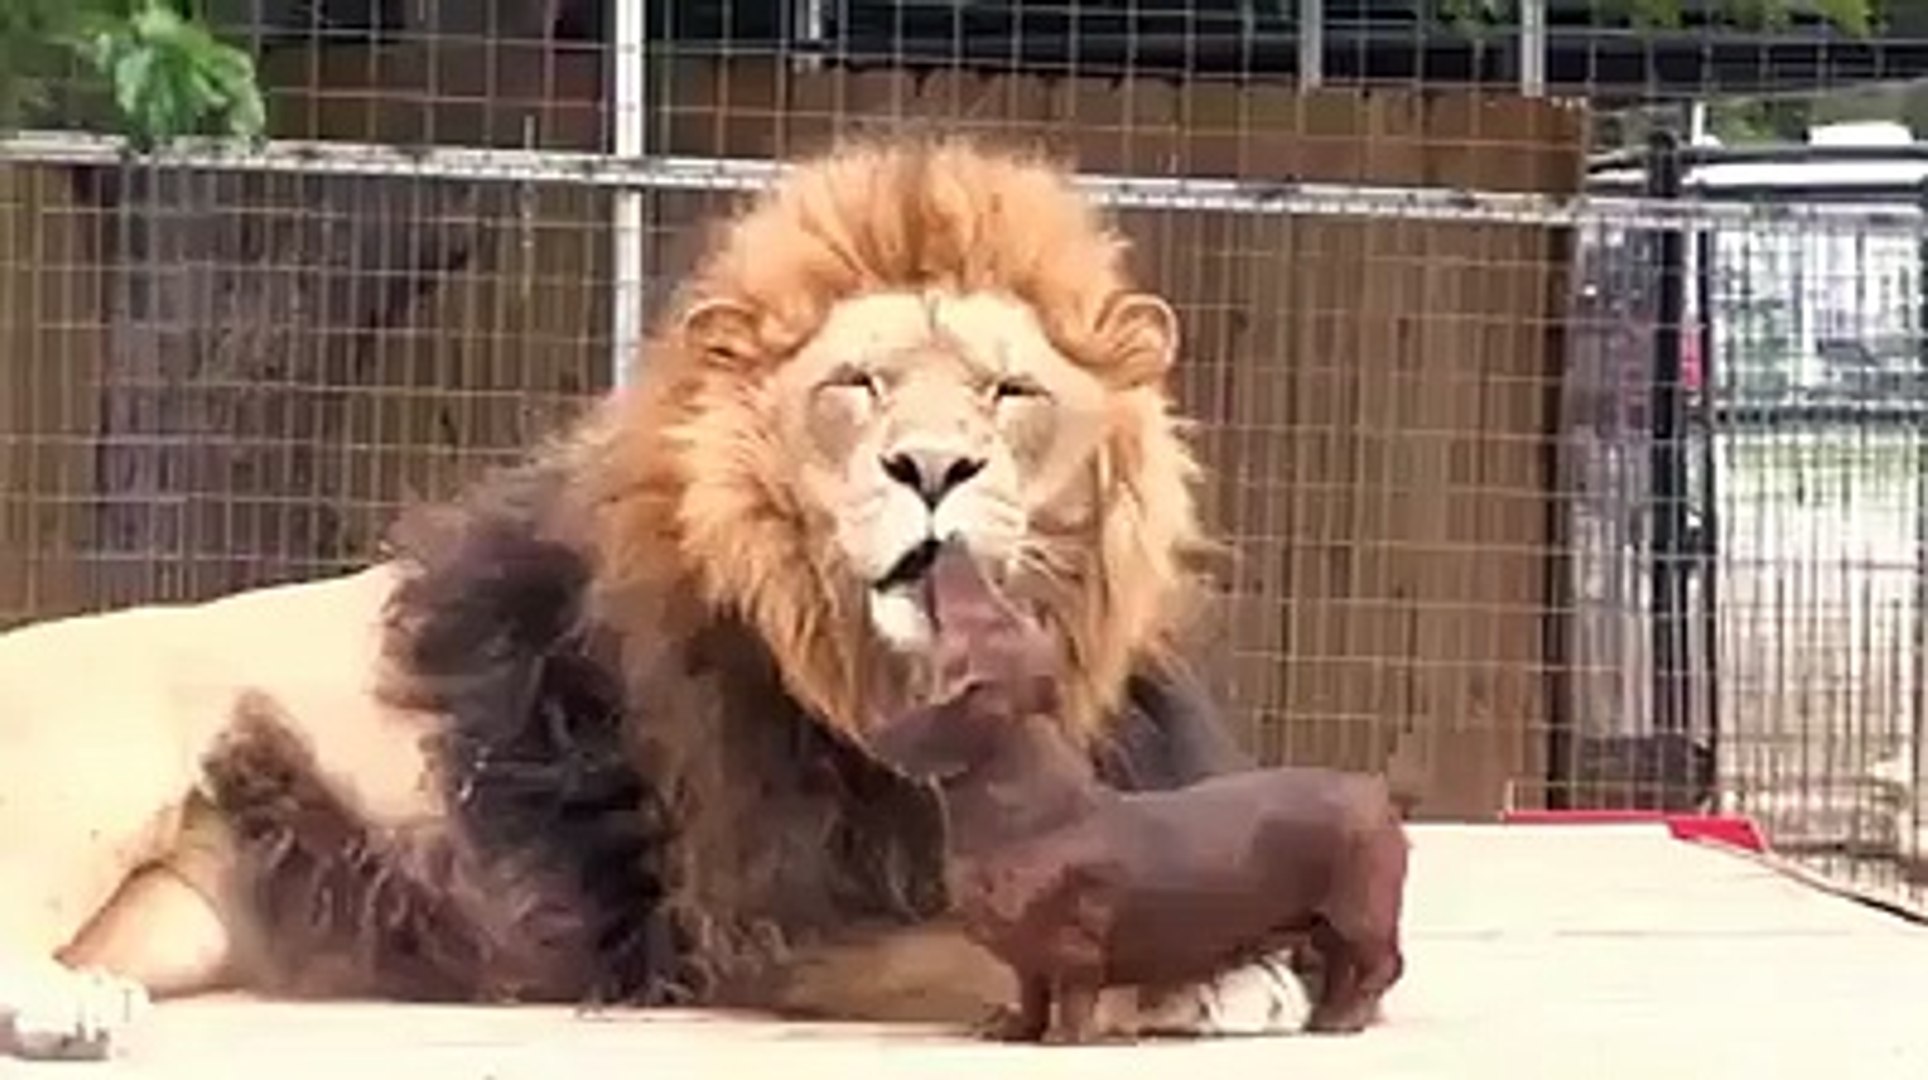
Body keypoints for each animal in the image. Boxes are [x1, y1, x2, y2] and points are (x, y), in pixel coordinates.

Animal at [0, 135, 1313, 1060]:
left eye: (1008, 393)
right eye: (857, 385)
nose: (932, 468)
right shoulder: (763, 930)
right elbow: (983, 947)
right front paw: (1204, 978)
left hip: (181, 913)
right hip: (94, 754)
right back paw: (68, 1012)